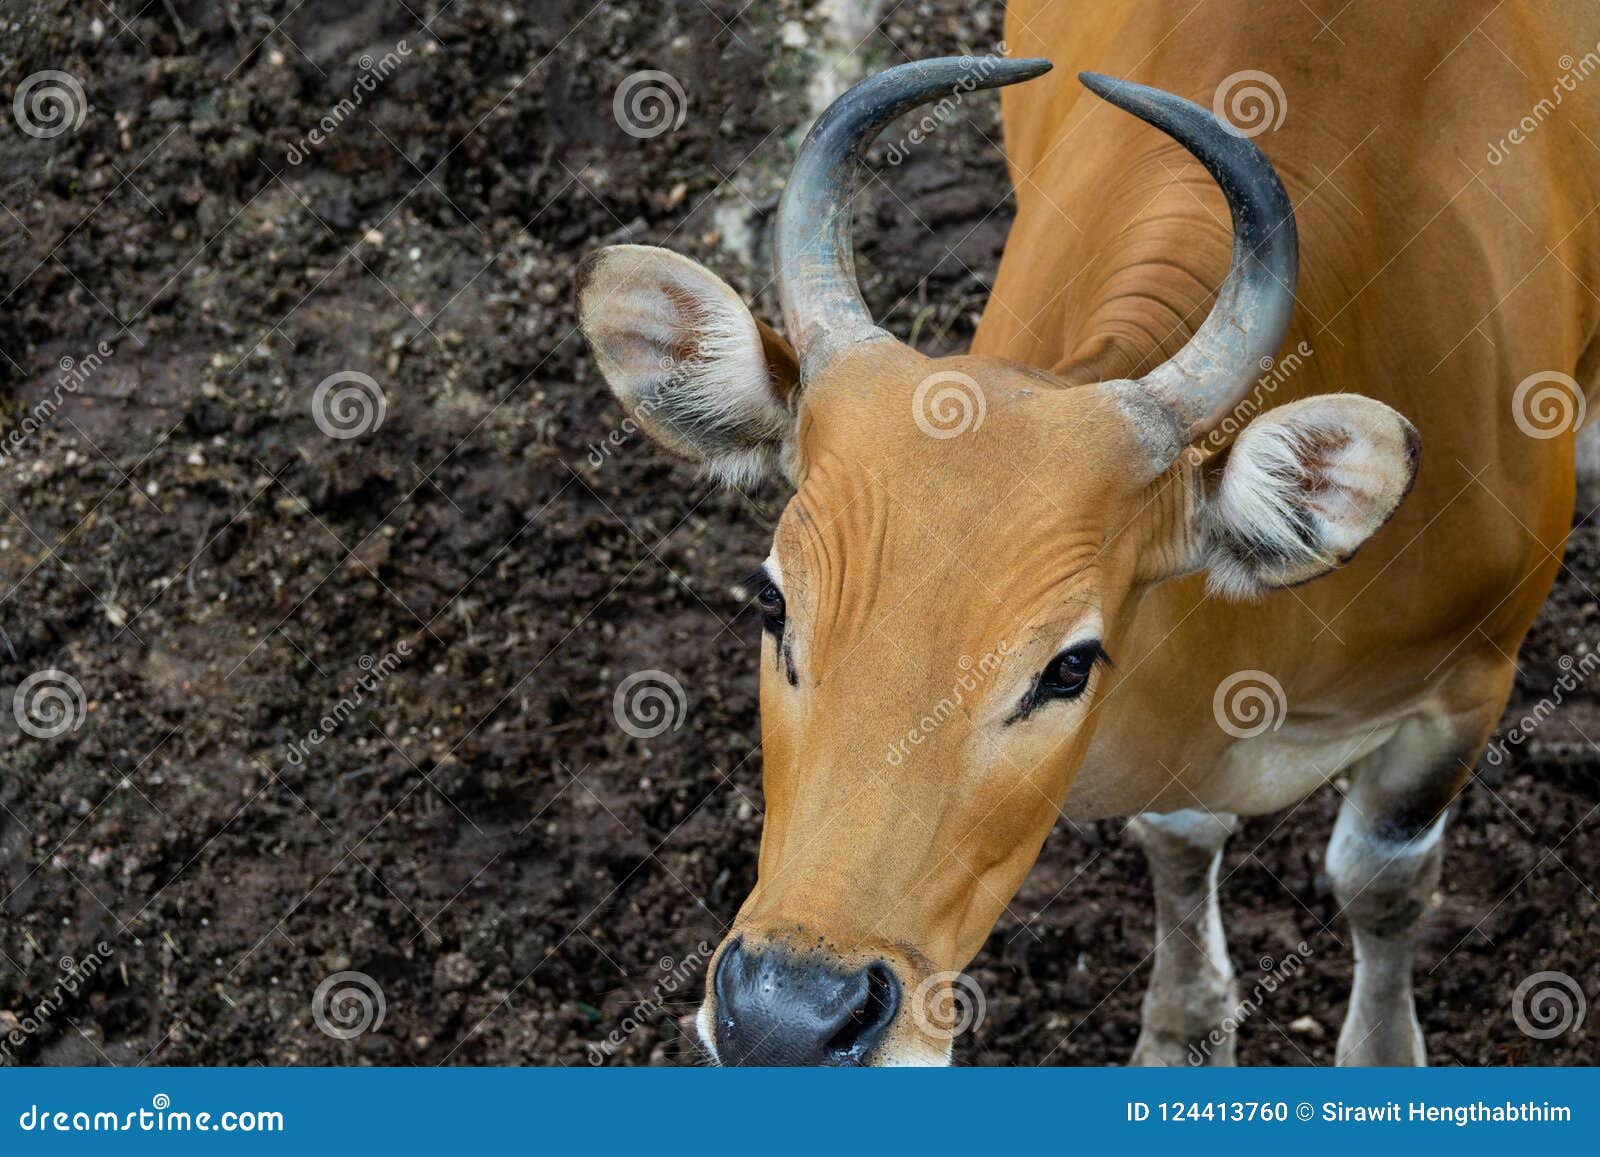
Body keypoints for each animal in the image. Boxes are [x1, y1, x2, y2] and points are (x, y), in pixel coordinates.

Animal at [576, 0, 1600, 1066]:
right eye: (774, 603)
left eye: (1067, 666)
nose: (788, 1016)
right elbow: (1182, 838)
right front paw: (1182, 1026)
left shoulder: (1469, 685)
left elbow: (1380, 879)